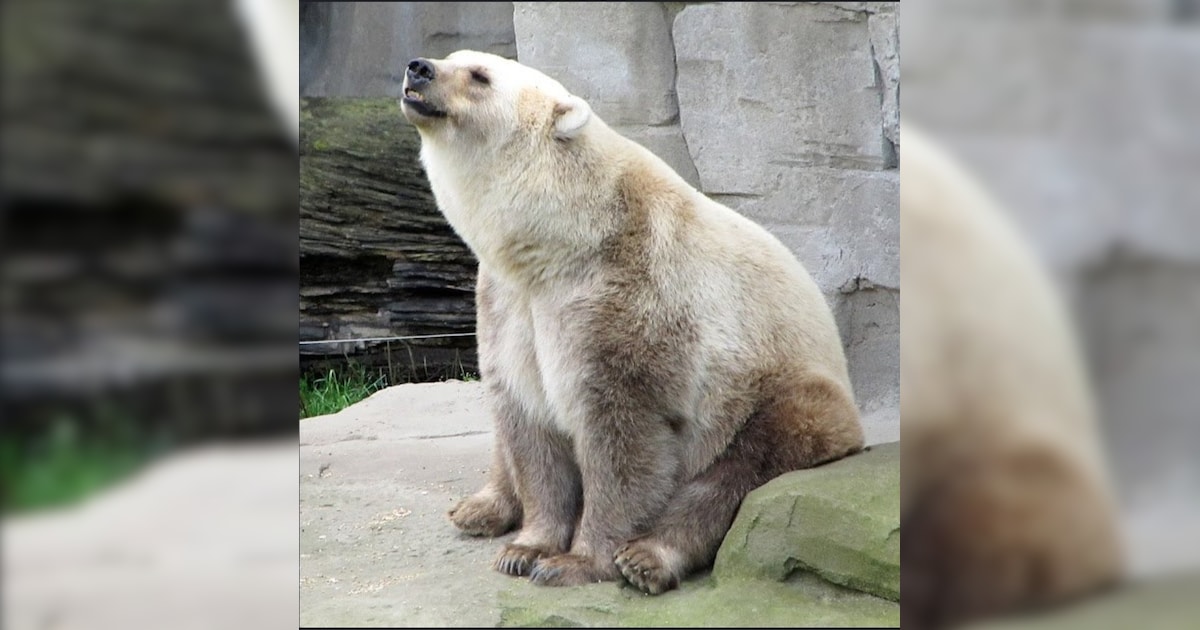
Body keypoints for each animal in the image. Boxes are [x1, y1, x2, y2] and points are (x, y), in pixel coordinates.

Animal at [400, 50, 865, 594]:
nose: (419, 68)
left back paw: (648, 557)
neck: (563, 241)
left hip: (778, 396)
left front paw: (574, 562)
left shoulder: (629, 292)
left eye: (480, 76)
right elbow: (527, 419)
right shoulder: (510, 303)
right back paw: (480, 507)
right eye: (454, 59)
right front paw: (525, 549)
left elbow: (622, 433)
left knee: (741, 468)